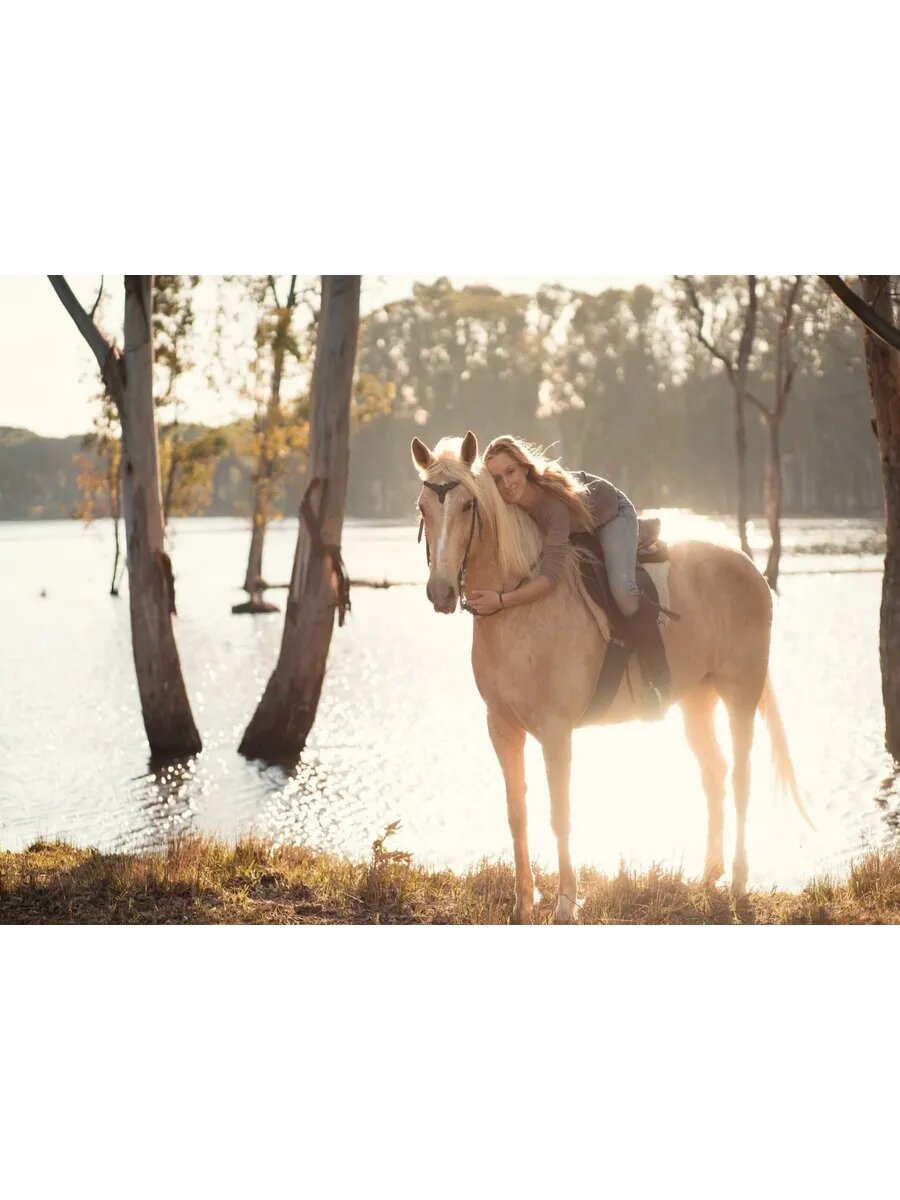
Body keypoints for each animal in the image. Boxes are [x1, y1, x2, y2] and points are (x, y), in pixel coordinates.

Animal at [411, 430, 807, 923]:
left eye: (467, 505)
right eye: (423, 507)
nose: (441, 592)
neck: (520, 607)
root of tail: (750, 568)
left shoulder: (556, 731)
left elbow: (560, 813)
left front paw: (565, 904)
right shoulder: (501, 727)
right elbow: (517, 814)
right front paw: (522, 905)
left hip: (741, 694)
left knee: (740, 780)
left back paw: (736, 882)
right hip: (697, 698)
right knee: (714, 773)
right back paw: (709, 875)